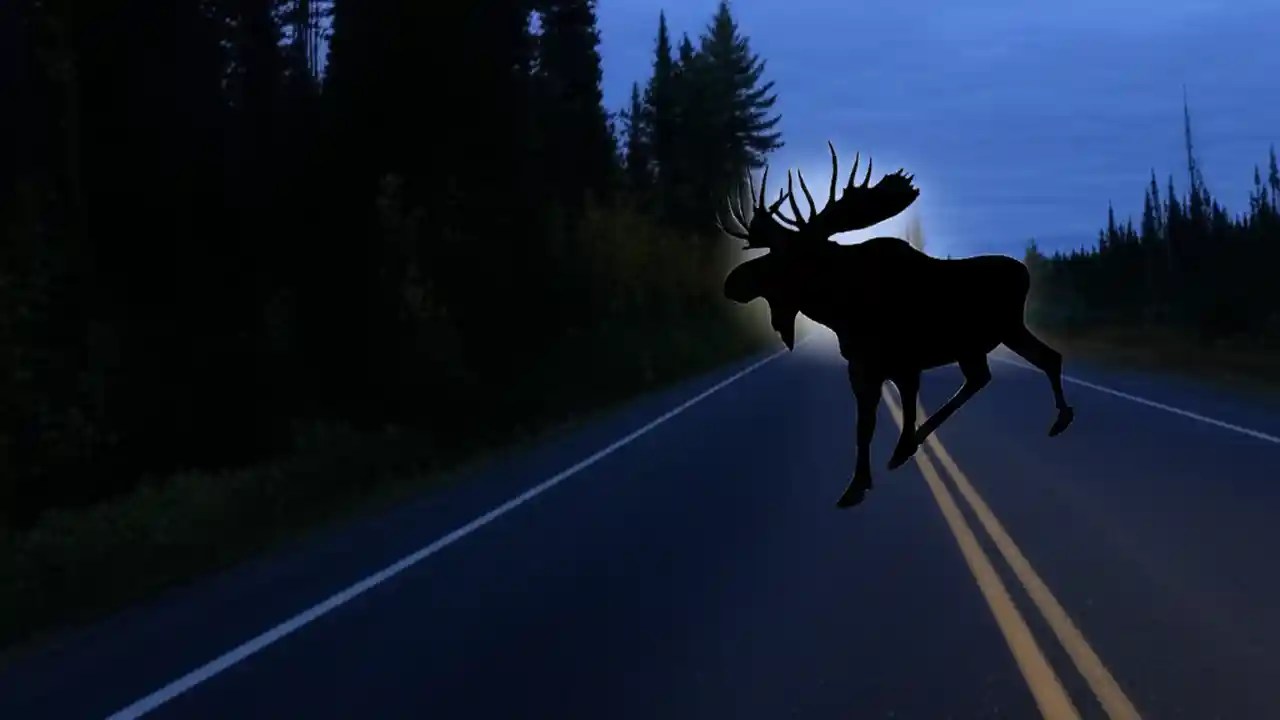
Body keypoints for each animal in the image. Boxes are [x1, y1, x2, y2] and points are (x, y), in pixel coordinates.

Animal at [717, 142, 1075, 509]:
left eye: (789, 256)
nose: (733, 281)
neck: (841, 307)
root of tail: (1025, 272)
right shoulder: (862, 366)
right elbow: (864, 427)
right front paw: (856, 484)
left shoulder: (905, 363)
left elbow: (905, 410)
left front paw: (900, 449)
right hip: (988, 340)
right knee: (1007, 369)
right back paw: (1060, 417)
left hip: (1001, 331)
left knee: (1029, 363)